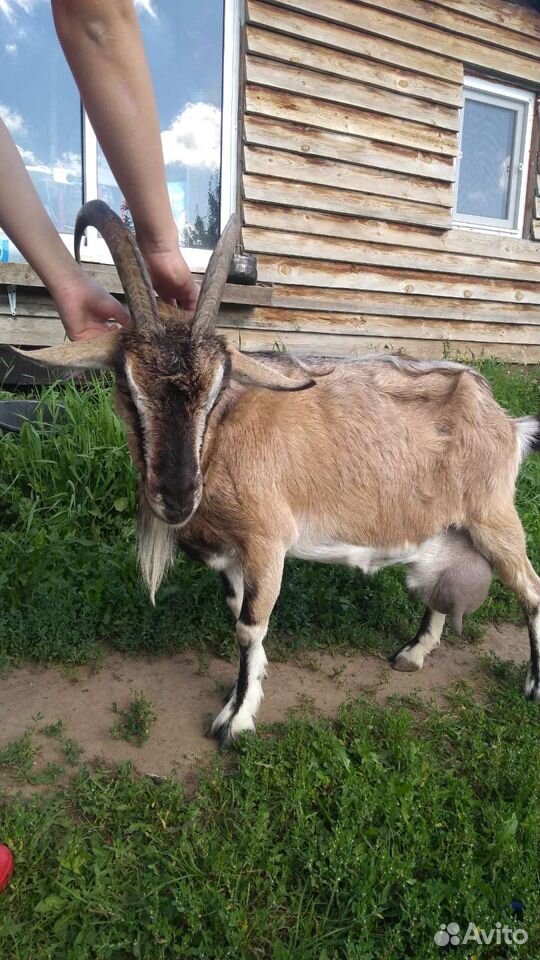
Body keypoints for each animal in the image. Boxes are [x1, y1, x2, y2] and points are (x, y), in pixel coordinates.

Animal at [16, 200, 540, 746]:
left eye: (219, 385)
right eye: (124, 382)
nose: (177, 496)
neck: (219, 441)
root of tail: (506, 421)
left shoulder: (268, 542)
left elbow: (250, 625)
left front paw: (235, 721)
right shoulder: (231, 557)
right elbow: (239, 615)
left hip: (494, 517)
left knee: (531, 590)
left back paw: (531, 686)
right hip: (446, 531)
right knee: (440, 593)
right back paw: (412, 654)